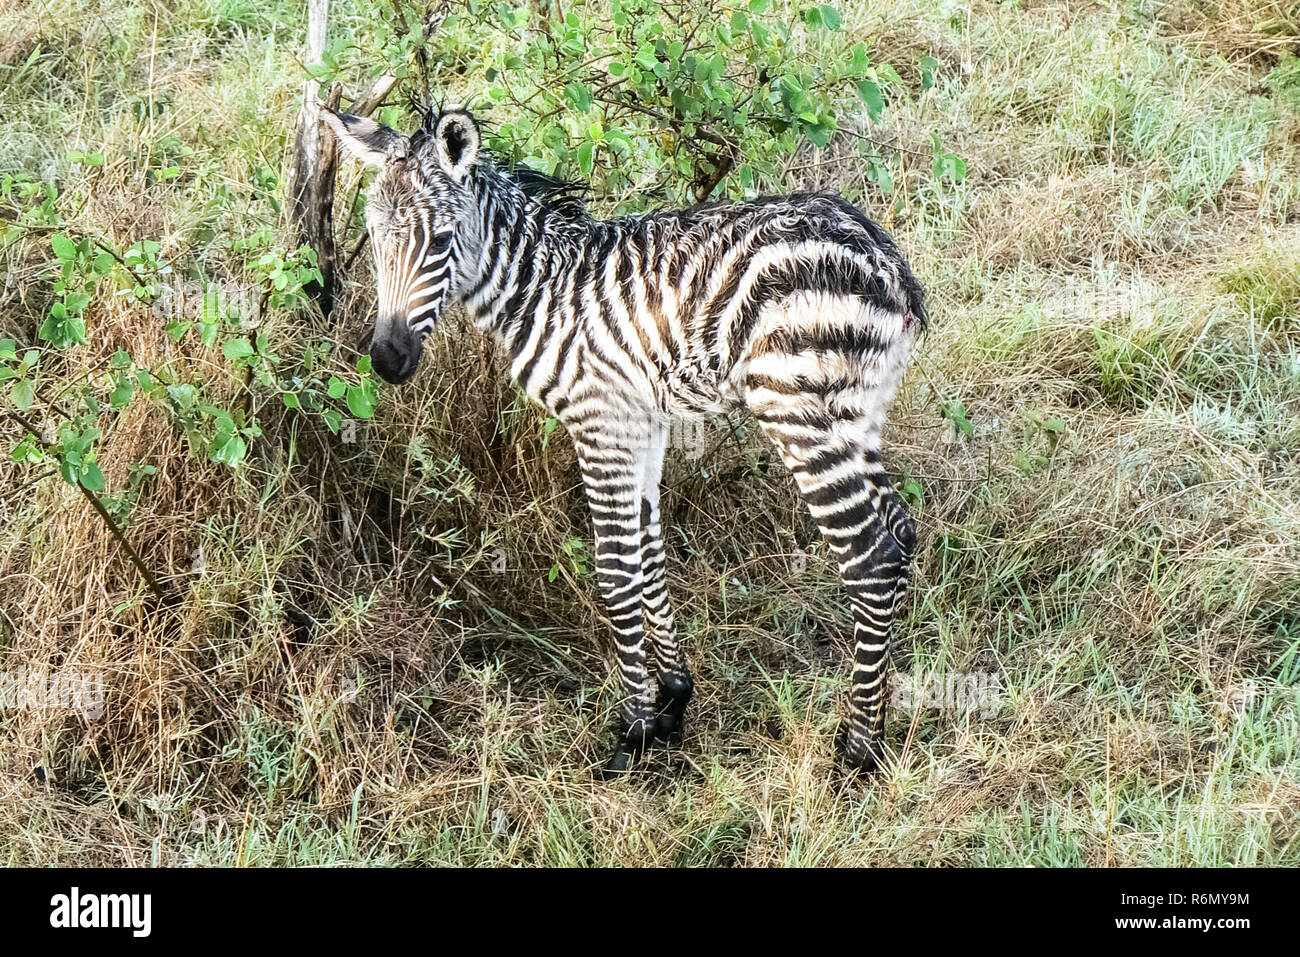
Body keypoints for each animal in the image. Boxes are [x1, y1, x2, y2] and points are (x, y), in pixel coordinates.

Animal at [322, 104, 926, 775]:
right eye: (373, 240)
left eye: (441, 242)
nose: (387, 361)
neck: (538, 291)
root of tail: (886, 260)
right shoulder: (643, 423)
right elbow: (649, 554)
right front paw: (673, 701)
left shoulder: (600, 423)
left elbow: (615, 573)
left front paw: (632, 734)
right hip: (855, 415)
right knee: (901, 532)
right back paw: (880, 717)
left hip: (798, 411)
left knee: (871, 555)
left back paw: (860, 747)